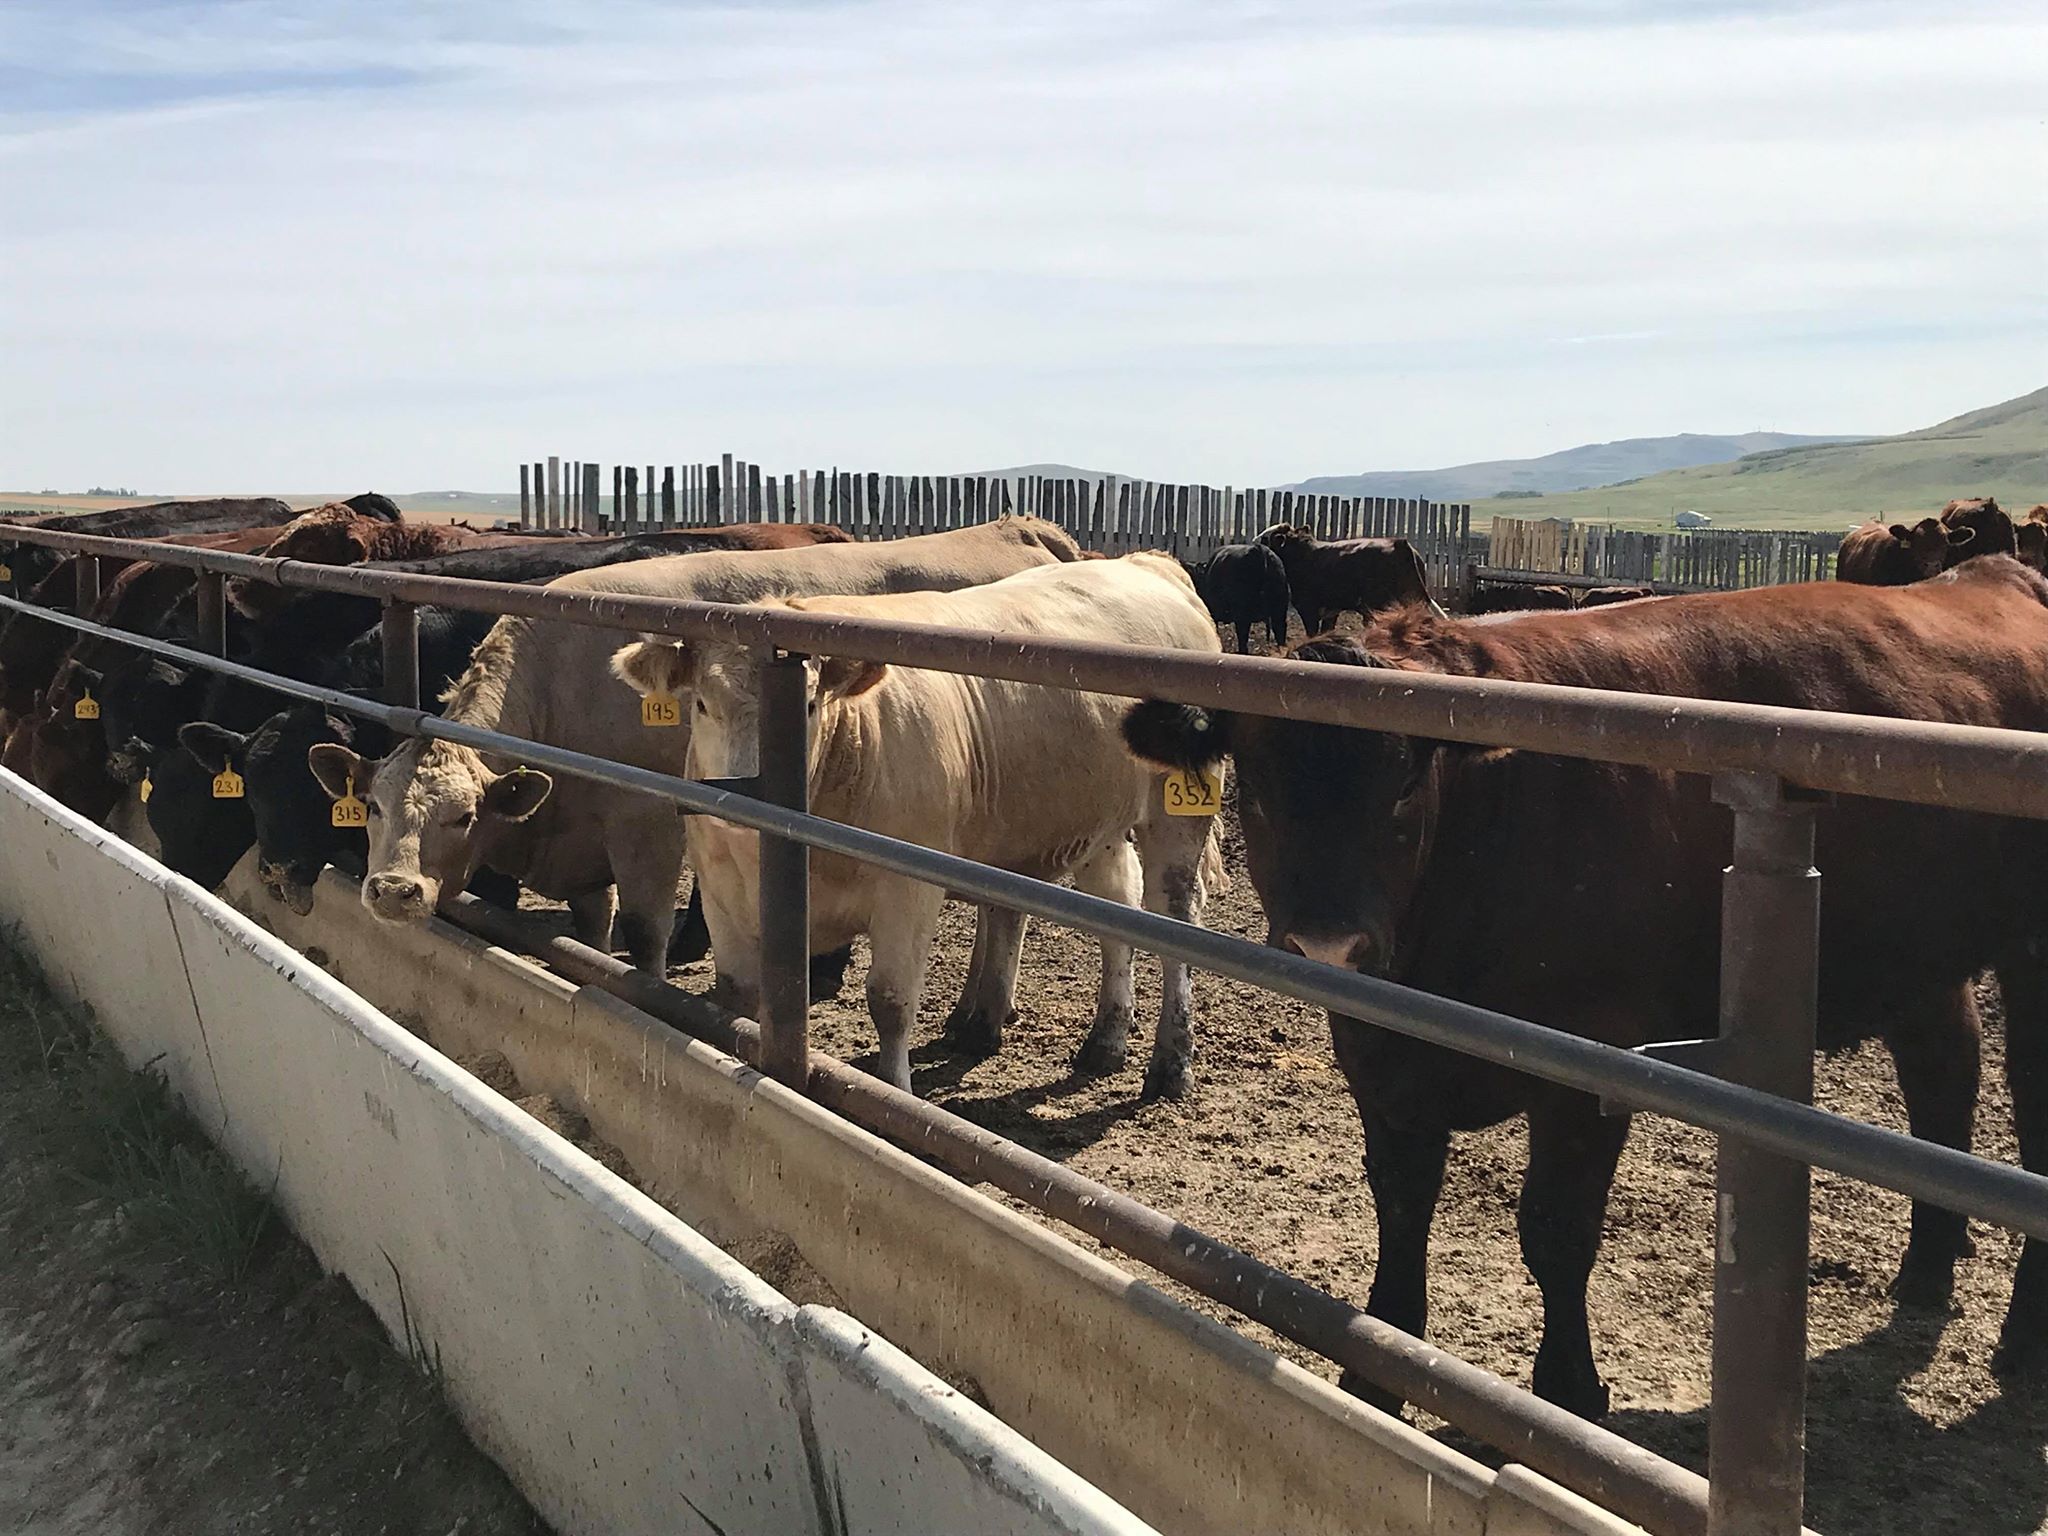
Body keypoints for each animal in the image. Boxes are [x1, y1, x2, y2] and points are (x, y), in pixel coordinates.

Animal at [308, 519, 1081, 982]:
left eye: (463, 816)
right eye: (371, 809)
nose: (394, 890)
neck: (563, 675)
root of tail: (1022, 526)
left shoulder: (646, 829)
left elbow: (644, 934)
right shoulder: (580, 849)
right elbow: (593, 930)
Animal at [624, 553, 1224, 1097]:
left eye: (810, 705)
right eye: (702, 705)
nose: (746, 790)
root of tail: (1147, 562)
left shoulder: (906, 888)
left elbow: (890, 1002)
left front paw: (894, 1091)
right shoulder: (720, 887)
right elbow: (737, 991)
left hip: (1175, 814)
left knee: (1174, 918)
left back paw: (1171, 1063)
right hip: (1093, 824)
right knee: (1113, 908)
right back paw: (1094, 1037)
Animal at [1122, 559, 2048, 1418]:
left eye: (1406, 781)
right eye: (1255, 784)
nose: (1328, 943)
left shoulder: (1590, 1060)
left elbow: (1556, 1231)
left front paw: (1567, 1390)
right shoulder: (1377, 1049)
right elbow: (1402, 1198)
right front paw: (1377, 1365)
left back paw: (2018, 1341)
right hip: (1920, 951)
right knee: (1944, 1068)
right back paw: (1928, 1267)